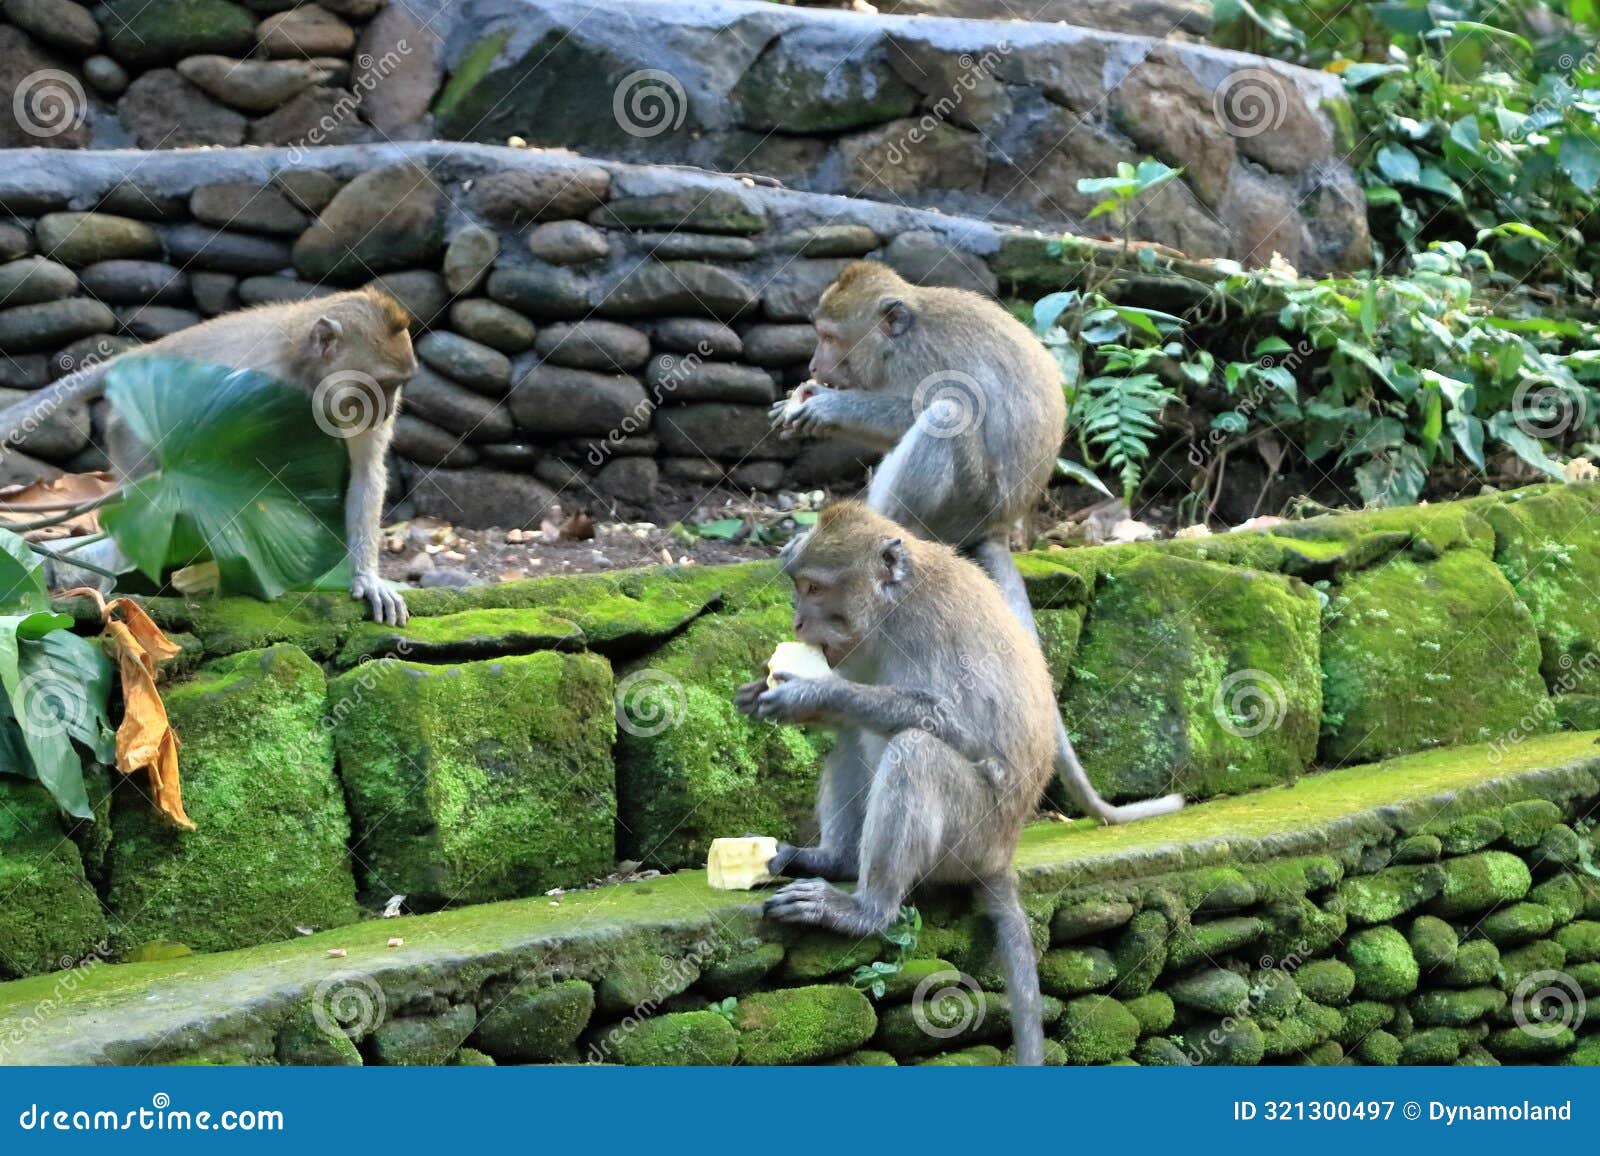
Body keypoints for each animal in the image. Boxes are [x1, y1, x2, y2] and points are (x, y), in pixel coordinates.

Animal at [0, 288, 417, 624]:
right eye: (380, 386)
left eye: (397, 386)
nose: (386, 410)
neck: (308, 373)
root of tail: (148, 352)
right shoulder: (256, 382)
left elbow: (365, 471)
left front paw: (367, 578)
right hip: (131, 428)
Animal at [735, 500, 1054, 1065]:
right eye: (798, 586)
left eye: (814, 588)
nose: (797, 621)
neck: (891, 609)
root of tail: (1002, 855)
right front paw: (760, 694)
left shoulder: (931, 627)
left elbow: (952, 722)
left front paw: (807, 695)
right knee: (854, 738)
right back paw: (834, 861)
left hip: (972, 836)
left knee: (915, 752)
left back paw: (866, 910)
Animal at [772, 260, 1183, 824]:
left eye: (830, 337)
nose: (815, 363)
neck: (901, 337)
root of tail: (1002, 522)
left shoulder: (920, 362)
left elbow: (919, 407)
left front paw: (828, 406)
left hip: (970, 499)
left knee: (949, 413)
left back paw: (885, 529)